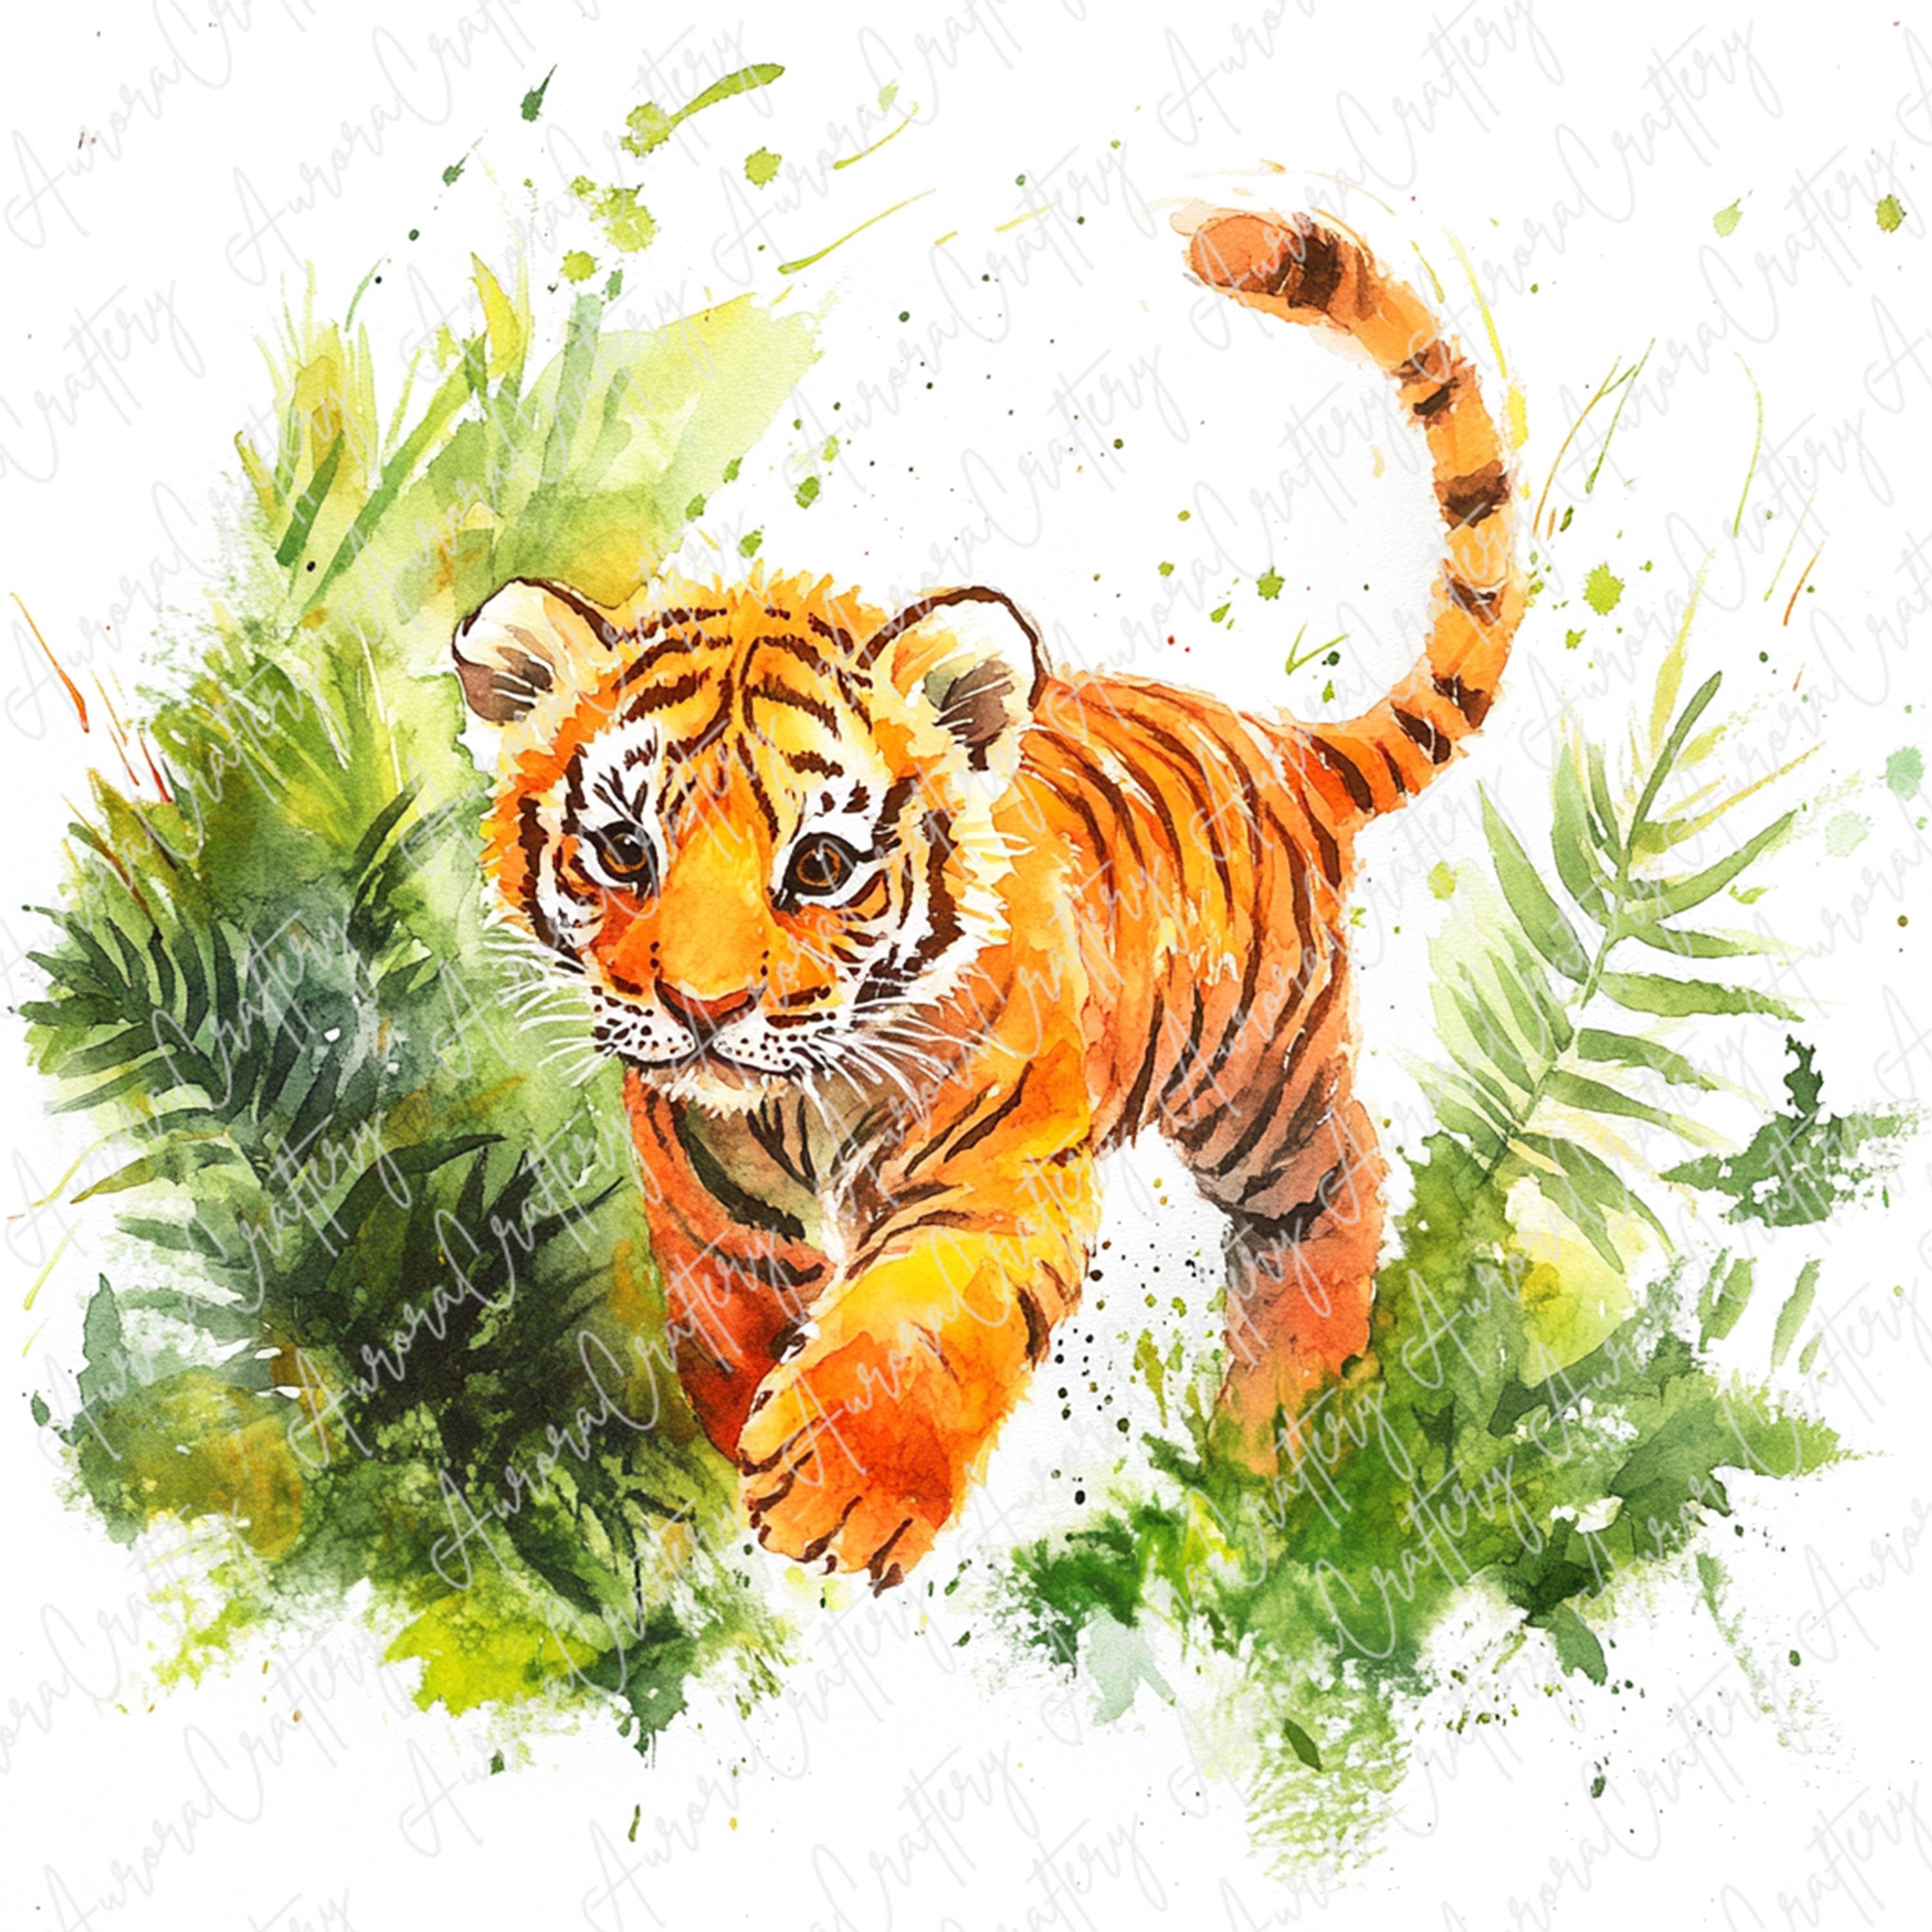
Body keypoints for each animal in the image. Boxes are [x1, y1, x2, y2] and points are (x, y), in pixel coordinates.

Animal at [450, 208, 1525, 1588]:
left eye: (820, 865)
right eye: (625, 851)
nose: (701, 1008)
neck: (803, 1102)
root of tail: (1287, 744)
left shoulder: (998, 1184)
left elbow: (915, 1325)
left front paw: (834, 1496)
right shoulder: (714, 1217)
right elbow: (726, 1329)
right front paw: (731, 1457)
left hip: (1258, 1076)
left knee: (1336, 1187)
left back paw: (1272, 1424)